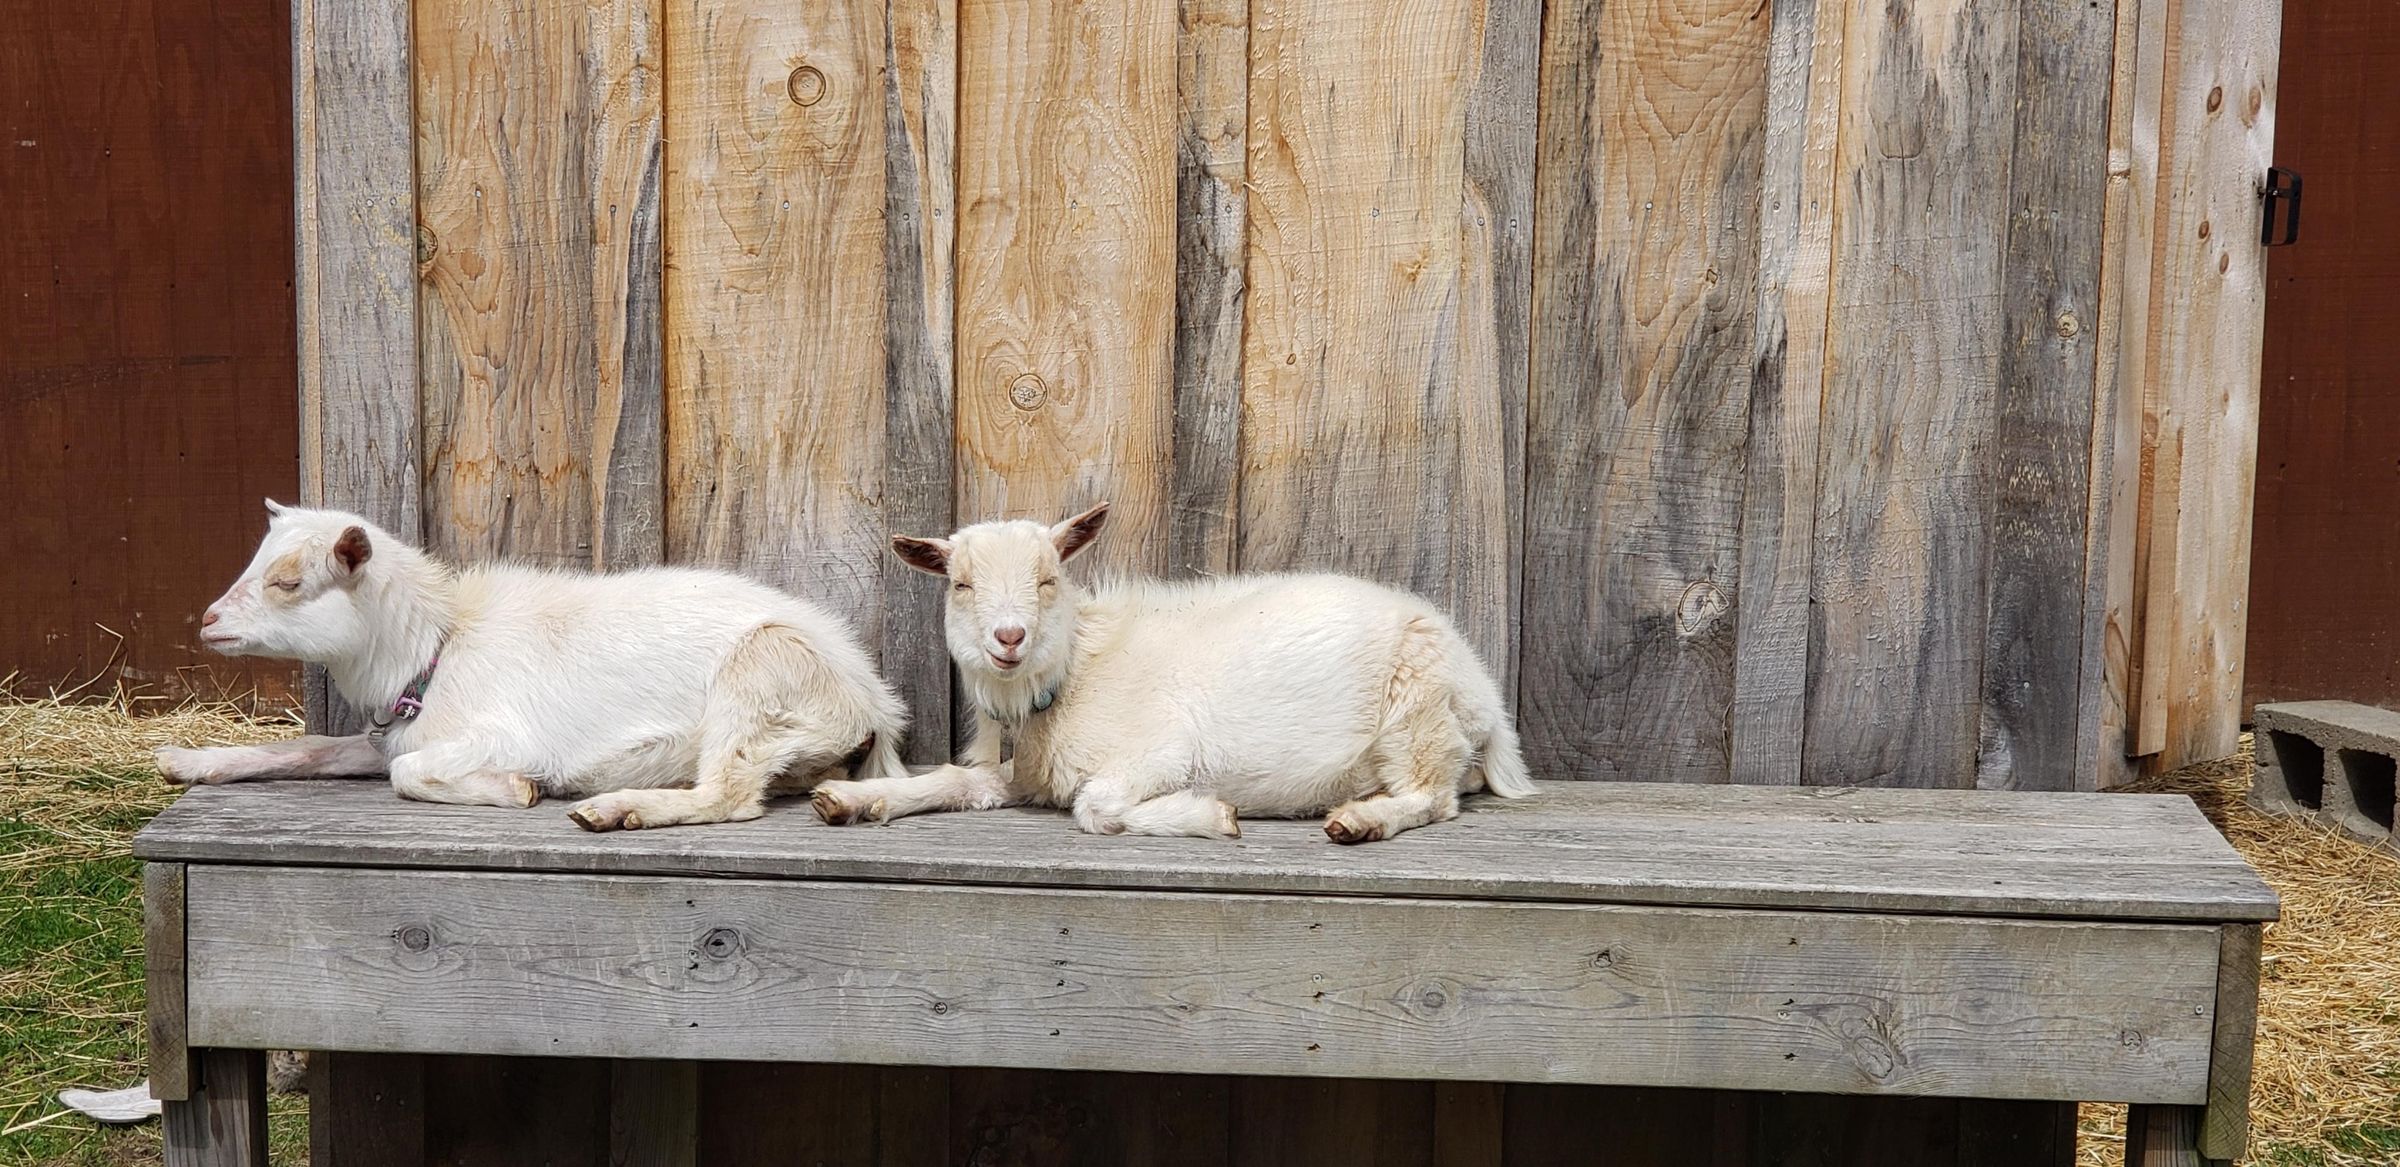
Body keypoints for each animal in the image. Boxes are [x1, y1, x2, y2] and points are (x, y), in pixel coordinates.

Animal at [154, 501, 907, 831]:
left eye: (288, 582)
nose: (208, 621)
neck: (440, 643)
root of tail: (871, 699)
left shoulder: (493, 732)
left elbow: (407, 773)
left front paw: (516, 788)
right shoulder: (395, 731)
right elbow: (314, 746)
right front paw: (186, 761)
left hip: (762, 677)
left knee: (729, 796)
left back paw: (616, 808)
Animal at [809, 503, 1533, 842]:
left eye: (1049, 579)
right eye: (960, 585)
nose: (1009, 638)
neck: (1076, 669)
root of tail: (1487, 699)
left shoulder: (1162, 749)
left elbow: (1097, 807)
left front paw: (1214, 815)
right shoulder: (1026, 772)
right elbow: (960, 781)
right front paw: (851, 798)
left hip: (1418, 711)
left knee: (1434, 798)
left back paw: (1361, 820)